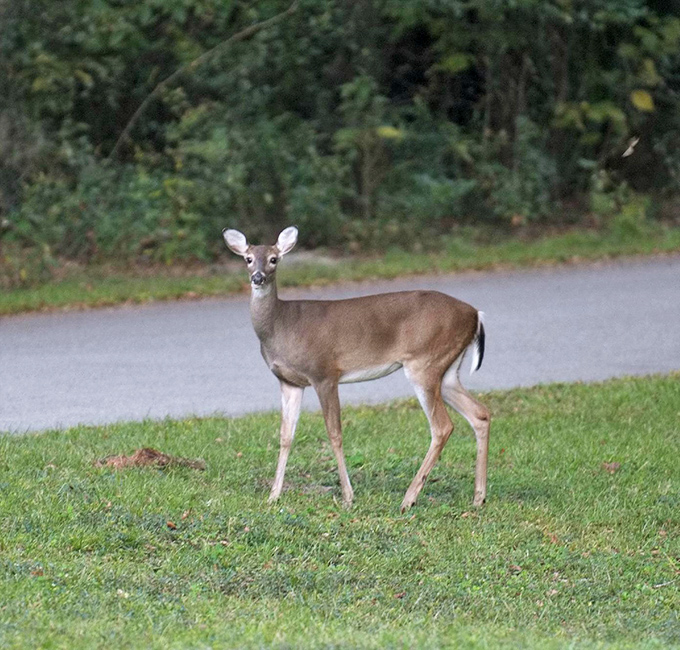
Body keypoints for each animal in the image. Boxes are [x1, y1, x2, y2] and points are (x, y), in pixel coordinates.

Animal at [223, 226, 490, 512]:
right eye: (248, 259)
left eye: (274, 259)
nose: (258, 277)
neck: (280, 327)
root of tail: (475, 315)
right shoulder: (289, 381)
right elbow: (285, 436)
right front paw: (273, 495)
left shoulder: (324, 372)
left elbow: (334, 434)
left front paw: (348, 496)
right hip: (448, 369)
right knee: (480, 414)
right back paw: (478, 497)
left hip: (424, 362)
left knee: (442, 426)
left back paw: (408, 499)